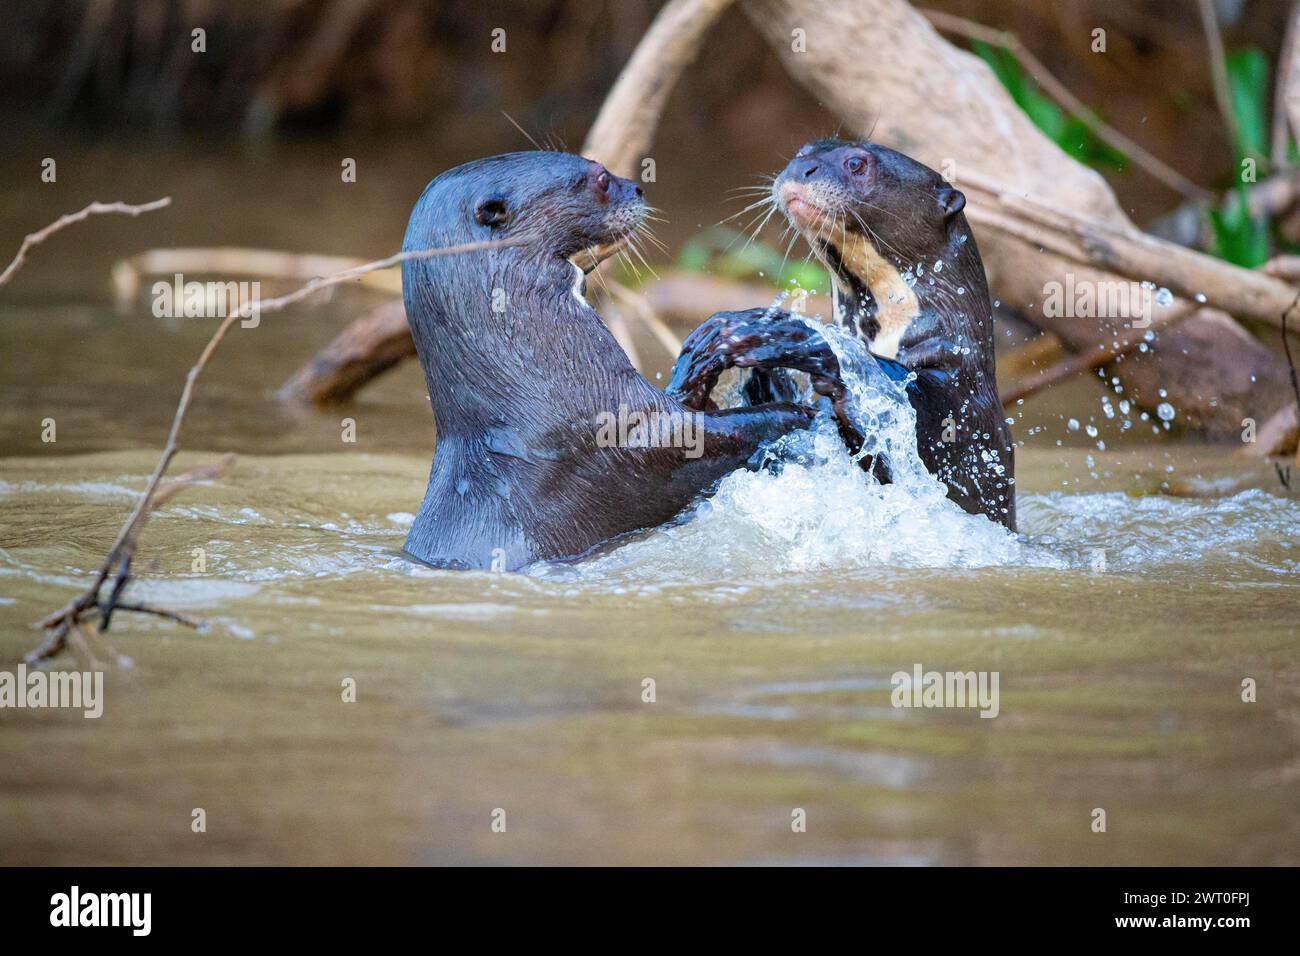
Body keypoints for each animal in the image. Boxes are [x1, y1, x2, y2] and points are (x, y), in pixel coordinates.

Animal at [400, 151, 845, 570]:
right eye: (600, 178)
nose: (637, 188)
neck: (540, 394)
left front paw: (706, 354)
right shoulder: (633, 436)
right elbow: (716, 435)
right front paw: (798, 412)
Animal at [669, 140, 1015, 530]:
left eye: (856, 163)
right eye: (802, 151)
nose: (800, 168)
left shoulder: (955, 408)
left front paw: (768, 332)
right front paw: (705, 360)